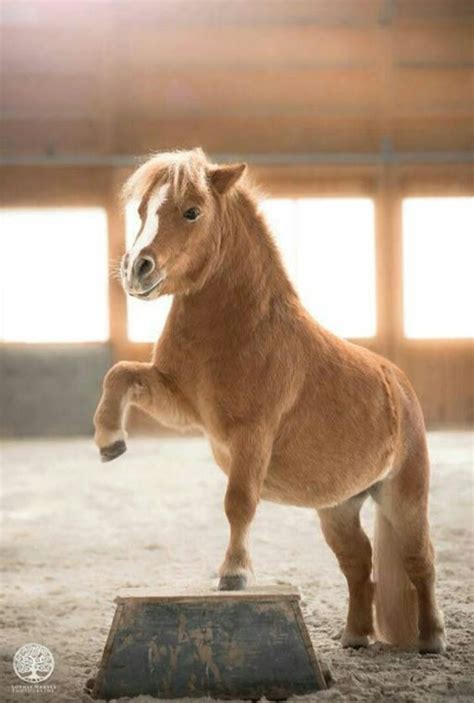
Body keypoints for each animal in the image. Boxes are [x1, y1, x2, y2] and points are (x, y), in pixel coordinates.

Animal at [94, 148, 446, 654]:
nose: (136, 269)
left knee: (421, 559)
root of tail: (398, 383)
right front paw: (110, 442)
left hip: (404, 496)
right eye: (142, 210)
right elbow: (120, 374)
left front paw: (234, 575)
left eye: (191, 211)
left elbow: (239, 502)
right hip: (338, 509)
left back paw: (432, 639)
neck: (240, 326)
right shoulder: (183, 406)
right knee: (358, 562)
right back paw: (355, 636)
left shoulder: (252, 435)